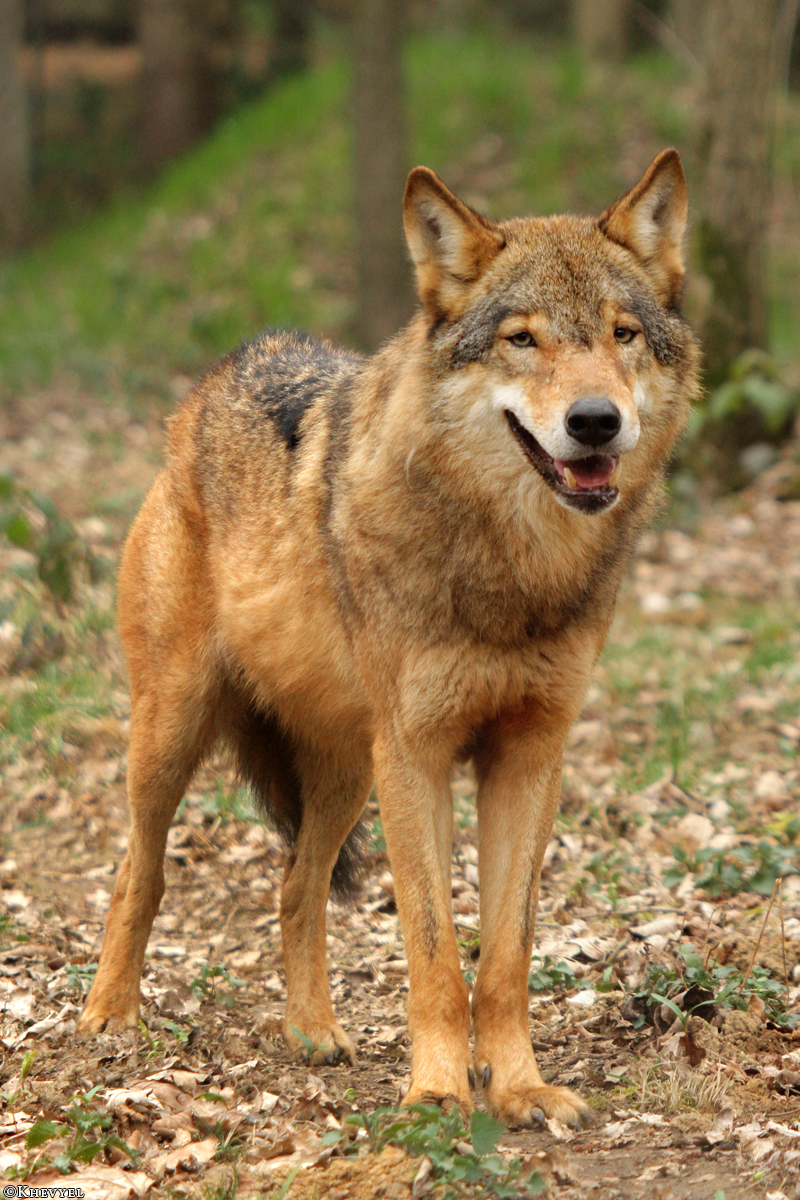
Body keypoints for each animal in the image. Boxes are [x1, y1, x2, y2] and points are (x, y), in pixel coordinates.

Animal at [78, 149, 700, 1128]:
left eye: (623, 333)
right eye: (522, 340)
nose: (597, 420)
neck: (512, 573)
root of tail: (222, 373)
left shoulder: (531, 755)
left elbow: (507, 954)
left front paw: (517, 1087)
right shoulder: (419, 752)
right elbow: (436, 952)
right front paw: (439, 1093)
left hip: (344, 773)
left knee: (296, 887)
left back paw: (312, 1033)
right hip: (174, 736)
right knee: (138, 873)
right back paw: (109, 1014)